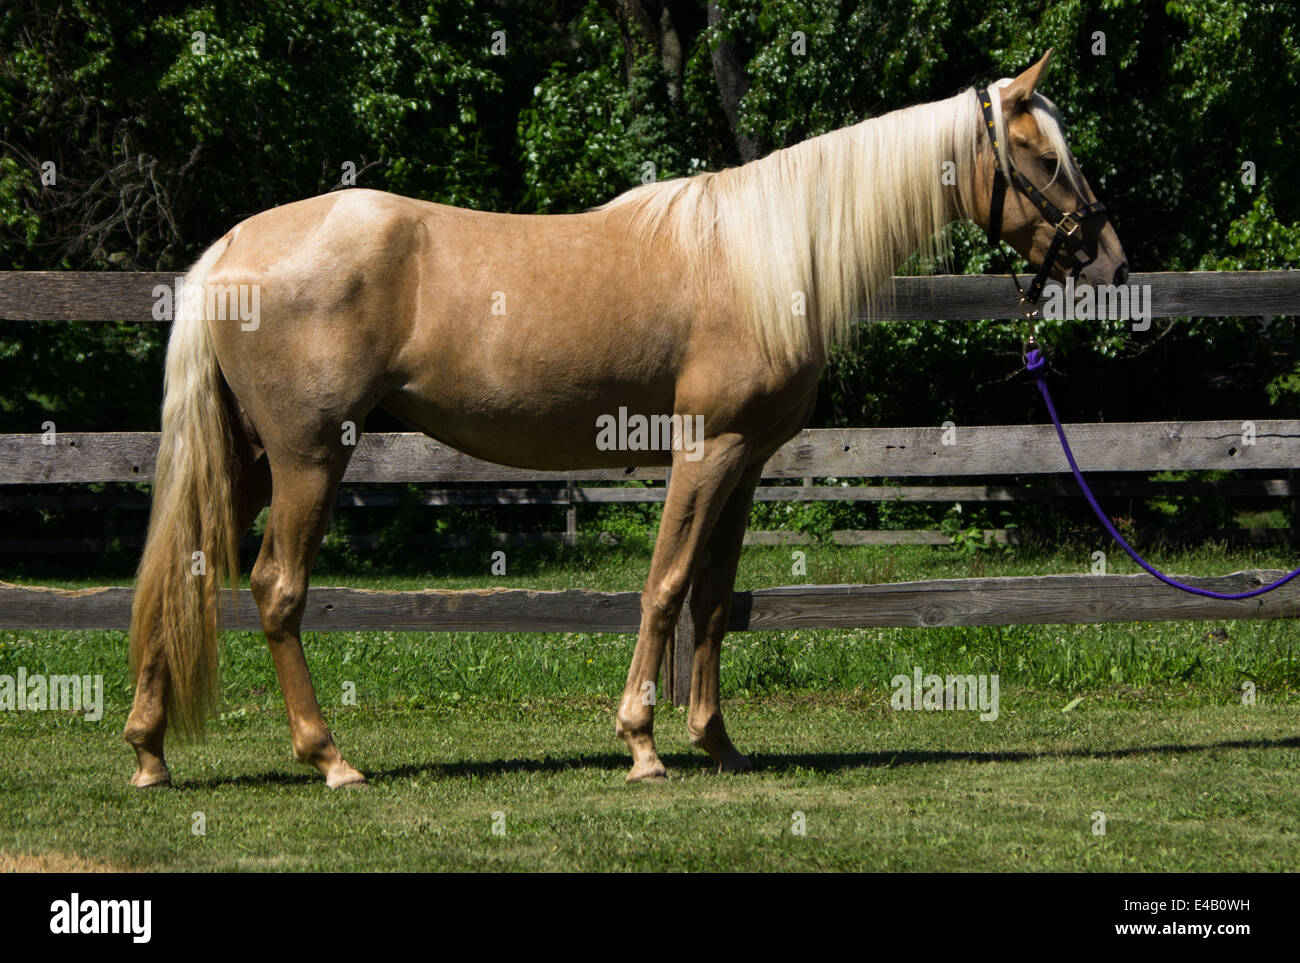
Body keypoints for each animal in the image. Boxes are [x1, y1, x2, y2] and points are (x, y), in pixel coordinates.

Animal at [124, 50, 1128, 787]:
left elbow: (715, 599)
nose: (1111, 262)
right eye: (1043, 158)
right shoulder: (707, 450)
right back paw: (329, 757)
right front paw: (643, 741)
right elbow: (666, 585)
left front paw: (718, 742)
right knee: (276, 588)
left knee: (180, 568)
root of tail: (229, 249)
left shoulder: (746, 463)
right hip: (306, 457)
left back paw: (149, 750)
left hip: (248, 457)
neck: (763, 257)